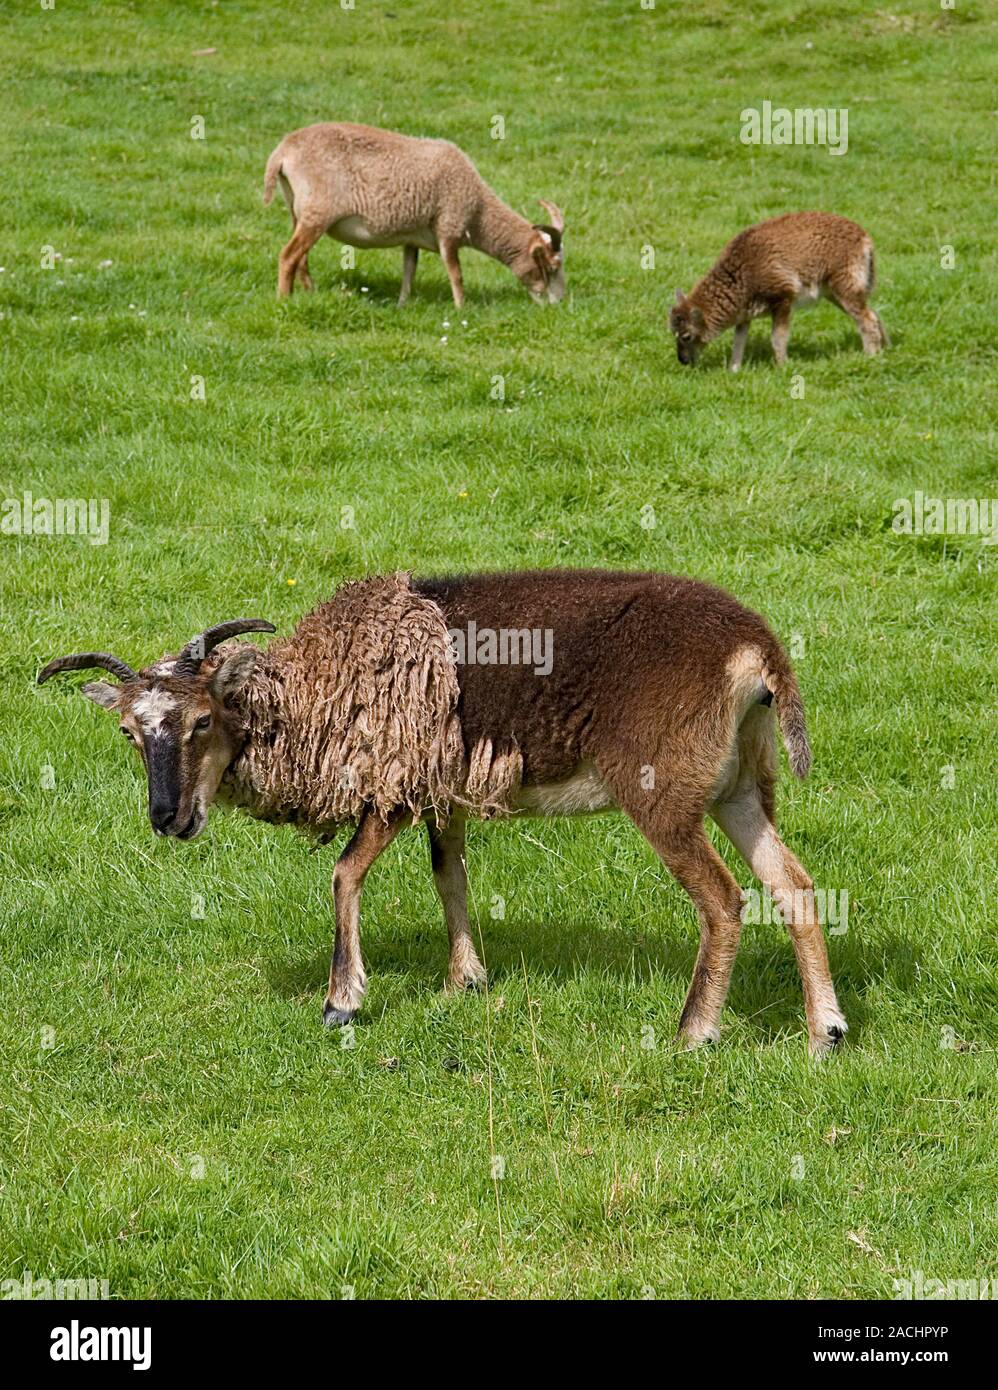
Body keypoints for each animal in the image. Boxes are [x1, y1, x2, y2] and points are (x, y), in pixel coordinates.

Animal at [37, 568, 846, 1056]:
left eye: (203, 721)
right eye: (129, 733)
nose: (167, 818)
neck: (313, 693)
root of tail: (757, 649)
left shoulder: (393, 783)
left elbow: (344, 873)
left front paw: (342, 1002)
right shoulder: (441, 789)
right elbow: (447, 873)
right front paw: (467, 980)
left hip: (665, 794)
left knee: (724, 899)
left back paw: (695, 1033)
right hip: (739, 785)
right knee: (796, 887)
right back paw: (825, 1034)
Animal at [262, 122, 565, 306]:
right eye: (551, 267)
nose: (559, 303)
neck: (479, 210)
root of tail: (283, 151)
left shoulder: (411, 238)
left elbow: (409, 272)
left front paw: (402, 304)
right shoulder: (449, 227)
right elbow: (456, 273)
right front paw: (462, 307)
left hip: (298, 211)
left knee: (300, 258)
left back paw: (308, 293)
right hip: (317, 212)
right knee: (288, 256)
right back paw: (283, 299)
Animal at [669, 211, 889, 370]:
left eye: (687, 336)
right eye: (673, 332)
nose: (683, 360)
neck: (743, 272)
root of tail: (864, 237)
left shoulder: (783, 301)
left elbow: (777, 338)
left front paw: (782, 366)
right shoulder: (744, 316)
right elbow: (738, 343)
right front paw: (734, 370)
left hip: (845, 289)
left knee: (866, 319)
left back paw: (870, 355)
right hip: (835, 294)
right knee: (872, 313)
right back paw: (885, 349)